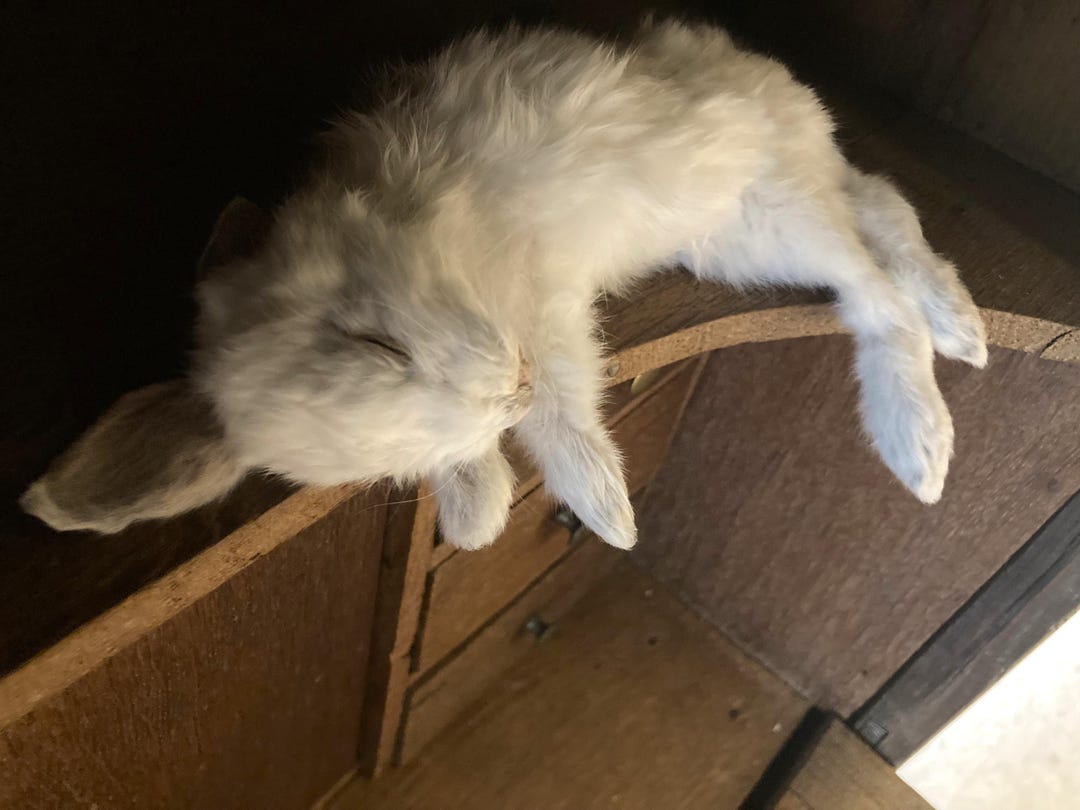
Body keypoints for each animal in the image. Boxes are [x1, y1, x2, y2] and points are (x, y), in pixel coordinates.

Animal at [20, 18, 987, 550]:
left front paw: (607, 513)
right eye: (394, 460)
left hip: (769, 211)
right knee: (882, 211)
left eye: (371, 340)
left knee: (876, 290)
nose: (505, 387)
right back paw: (962, 328)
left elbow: (565, 409)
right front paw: (477, 512)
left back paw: (920, 444)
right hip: (744, 236)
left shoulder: (544, 308)